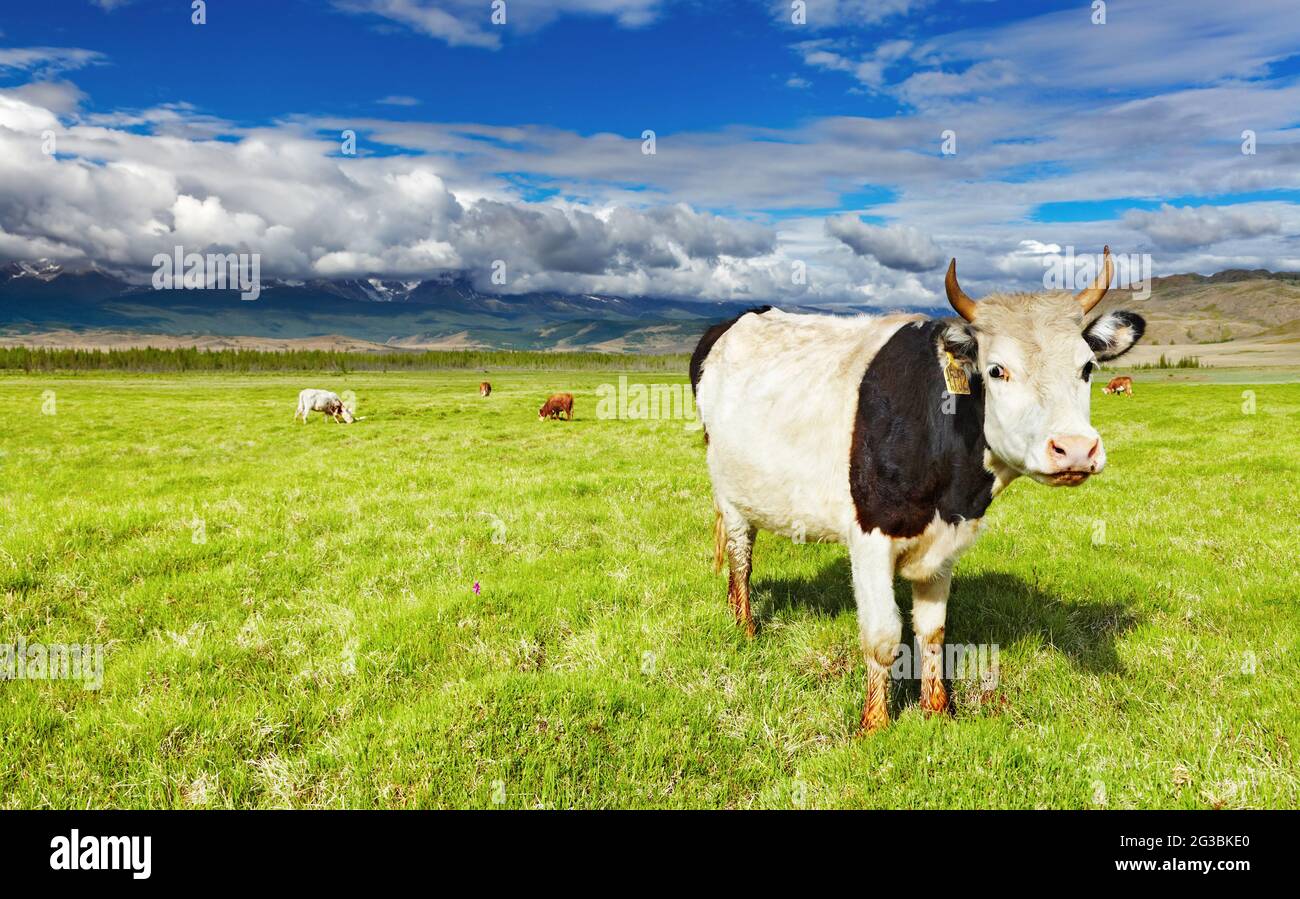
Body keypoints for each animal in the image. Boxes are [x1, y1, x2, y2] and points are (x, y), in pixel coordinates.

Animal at [691, 247, 1144, 733]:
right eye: (996, 370)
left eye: (1087, 367)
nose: (1075, 449)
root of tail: (739, 319)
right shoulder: (869, 537)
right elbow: (883, 635)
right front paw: (874, 724)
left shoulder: (945, 538)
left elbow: (933, 630)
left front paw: (937, 709)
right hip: (730, 498)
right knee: (741, 559)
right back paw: (745, 628)